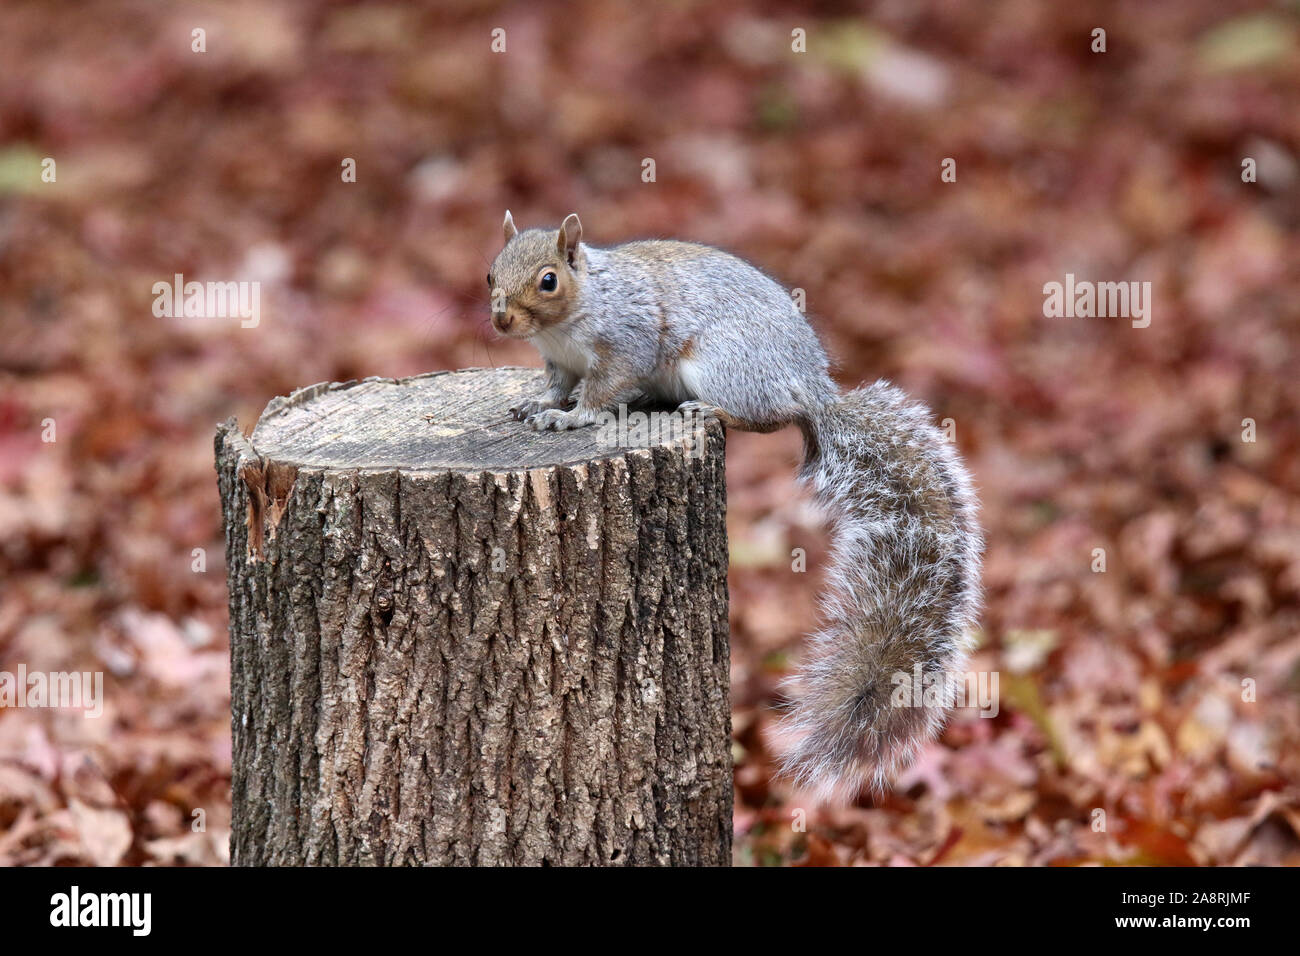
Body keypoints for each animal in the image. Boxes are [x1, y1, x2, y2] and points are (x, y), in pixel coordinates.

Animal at [487, 210, 983, 799]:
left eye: (548, 281)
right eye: (491, 269)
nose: (500, 320)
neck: (576, 311)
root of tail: (814, 390)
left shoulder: (627, 341)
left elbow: (602, 388)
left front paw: (572, 417)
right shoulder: (558, 362)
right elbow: (557, 384)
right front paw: (539, 404)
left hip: (724, 366)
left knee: (770, 416)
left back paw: (713, 410)